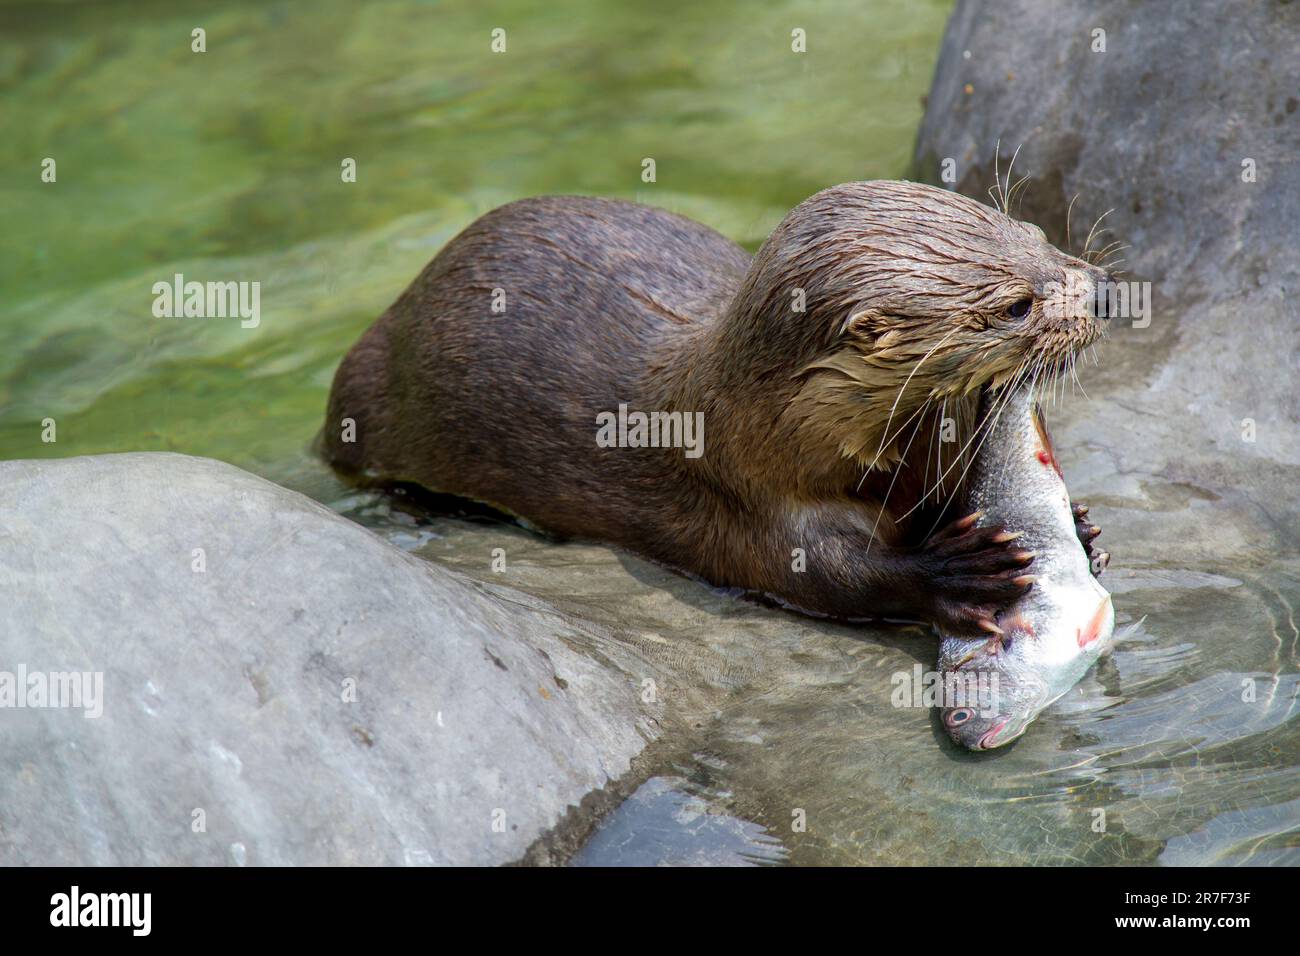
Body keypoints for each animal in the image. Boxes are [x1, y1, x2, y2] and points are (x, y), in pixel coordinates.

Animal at [323, 181, 1108, 636]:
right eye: (1016, 305)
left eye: (1040, 238)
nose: (1100, 291)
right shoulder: (752, 502)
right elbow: (832, 579)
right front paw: (958, 571)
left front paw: (1080, 527)